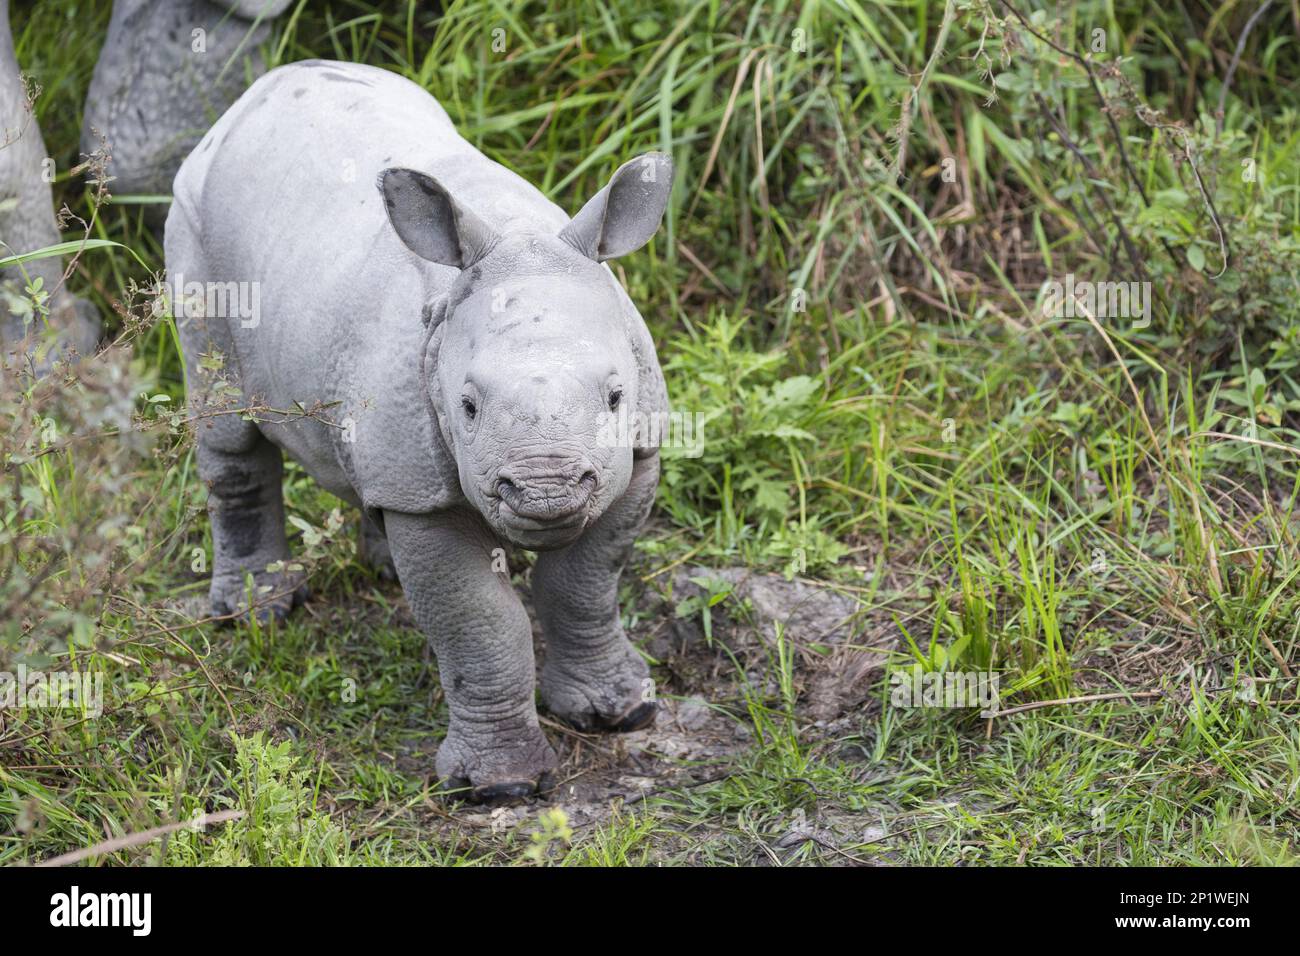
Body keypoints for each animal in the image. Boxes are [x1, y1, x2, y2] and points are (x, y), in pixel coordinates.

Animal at [167, 59, 673, 801]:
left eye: (614, 397)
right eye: (467, 406)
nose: (545, 493)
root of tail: (250, 98)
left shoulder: (634, 453)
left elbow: (583, 587)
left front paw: (622, 712)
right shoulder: (426, 496)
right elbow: (481, 623)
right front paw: (499, 787)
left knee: (368, 468)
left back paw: (377, 565)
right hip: (193, 222)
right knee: (229, 424)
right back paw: (255, 614)